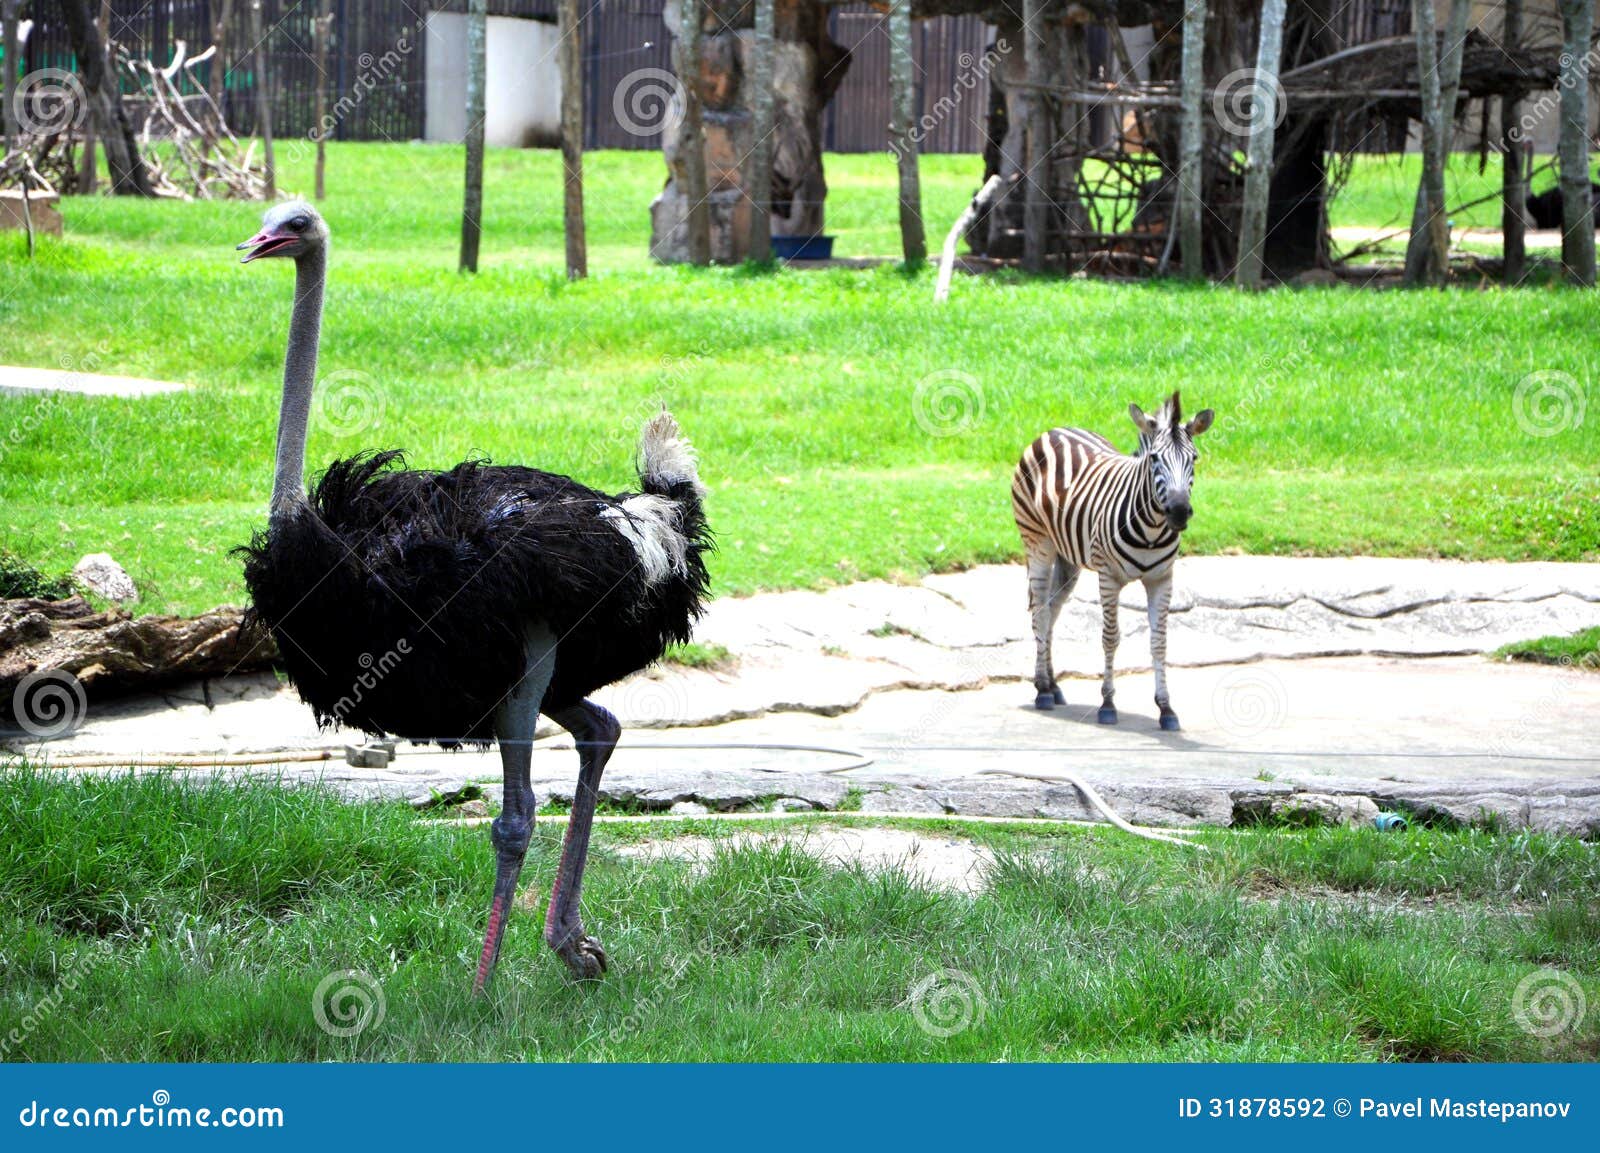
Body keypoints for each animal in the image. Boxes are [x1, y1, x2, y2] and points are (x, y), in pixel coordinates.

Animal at [1010, 391, 1213, 731]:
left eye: (1194, 458)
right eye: (1154, 459)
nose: (1179, 511)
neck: (1151, 529)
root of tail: (1055, 430)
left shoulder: (1161, 578)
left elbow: (1159, 642)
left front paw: (1166, 708)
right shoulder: (1108, 576)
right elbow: (1110, 638)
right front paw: (1107, 704)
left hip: (1068, 557)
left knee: (1052, 609)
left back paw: (1053, 684)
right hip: (1038, 542)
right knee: (1040, 610)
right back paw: (1042, 690)